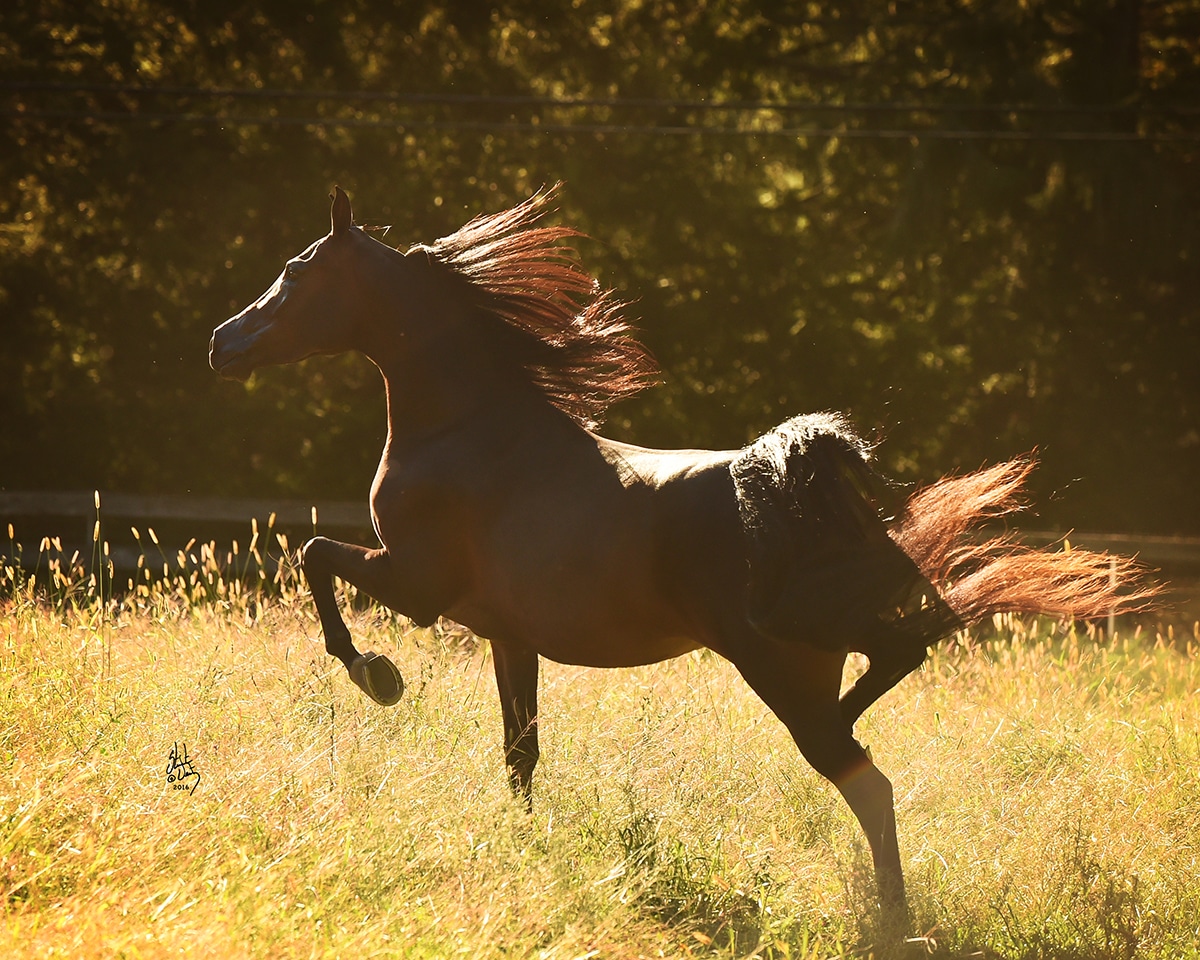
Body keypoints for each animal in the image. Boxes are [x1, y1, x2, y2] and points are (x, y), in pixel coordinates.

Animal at [209, 185, 1156, 919]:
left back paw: (895, 924)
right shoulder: (506, 634)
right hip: (818, 647)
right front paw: (518, 844)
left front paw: (376, 674)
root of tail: (803, 489)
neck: (470, 432)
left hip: (782, 670)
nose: (223, 342)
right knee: (891, 682)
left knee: (867, 780)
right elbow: (520, 751)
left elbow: (313, 555)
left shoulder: (414, 585)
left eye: (297, 271)